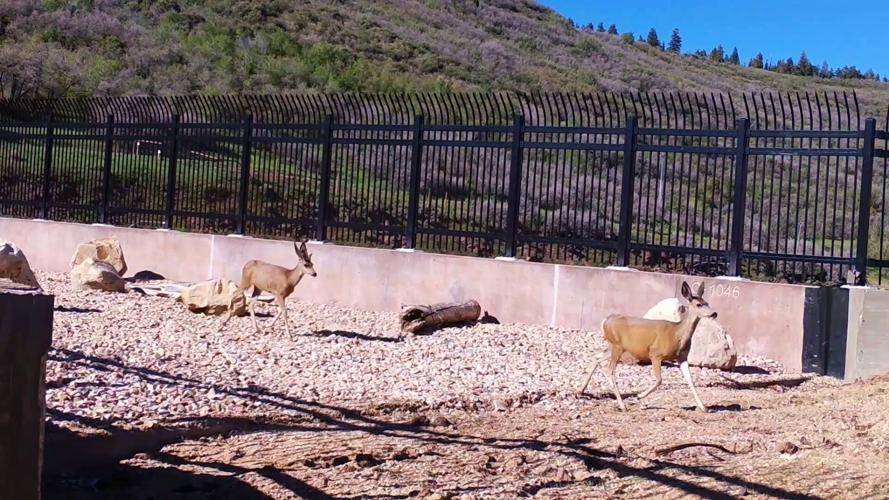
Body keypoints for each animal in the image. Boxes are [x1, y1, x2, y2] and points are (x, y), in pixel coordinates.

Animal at [578, 281, 716, 412]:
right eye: (699, 304)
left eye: (707, 302)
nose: (714, 313)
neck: (677, 335)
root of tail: (605, 321)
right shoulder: (655, 353)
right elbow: (659, 380)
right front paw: (639, 396)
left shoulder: (682, 357)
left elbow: (690, 380)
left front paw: (704, 407)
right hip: (617, 346)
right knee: (609, 370)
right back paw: (622, 406)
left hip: (615, 346)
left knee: (597, 357)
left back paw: (580, 391)